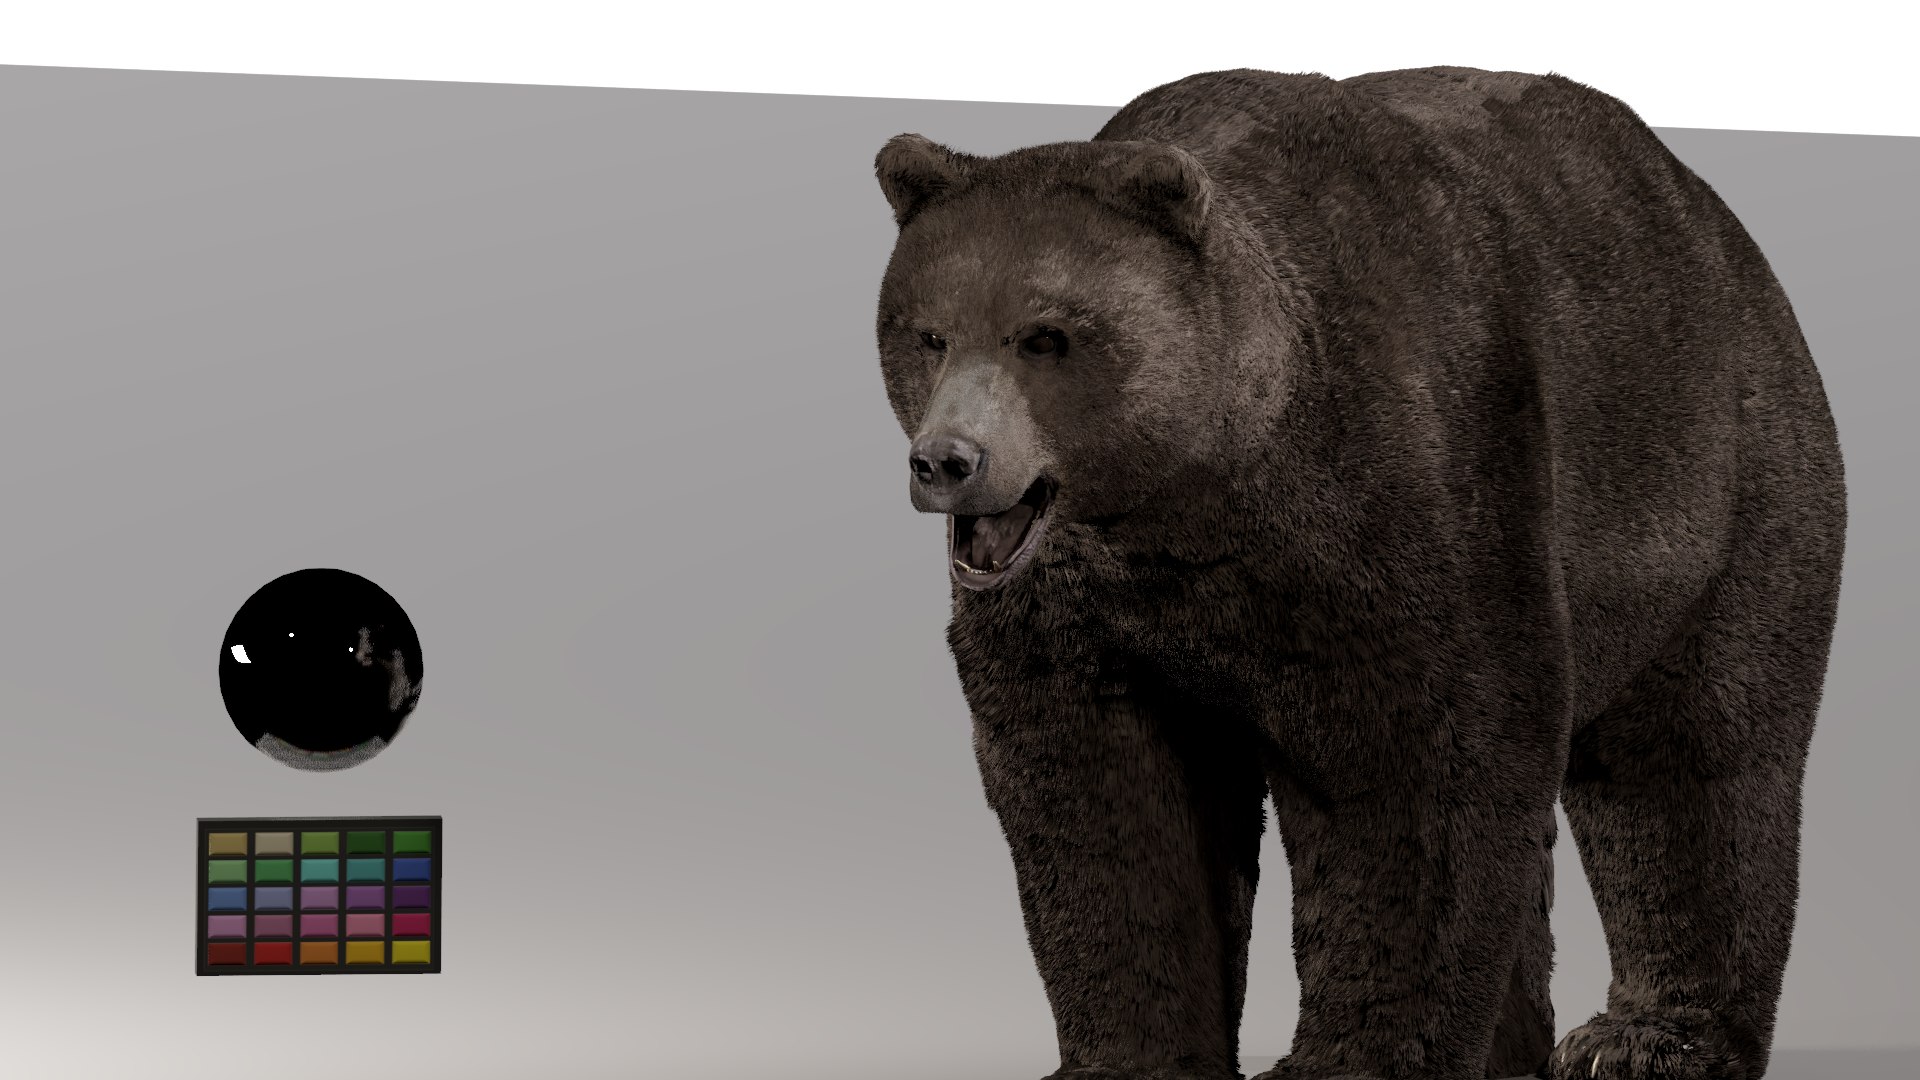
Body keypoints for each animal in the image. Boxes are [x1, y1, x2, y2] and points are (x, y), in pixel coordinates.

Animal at [870, 67, 1847, 1080]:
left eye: (1046, 335)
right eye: (927, 333)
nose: (946, 461)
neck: (1198, 496)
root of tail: (1714, 214)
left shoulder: (1406, 492)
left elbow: (1418, 763)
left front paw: (1350, 1057)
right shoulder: (1081, 607)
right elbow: (1103, 790)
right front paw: (1130, 1055)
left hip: (1718, 481)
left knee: (1693, 753)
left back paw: (1645, 1039)